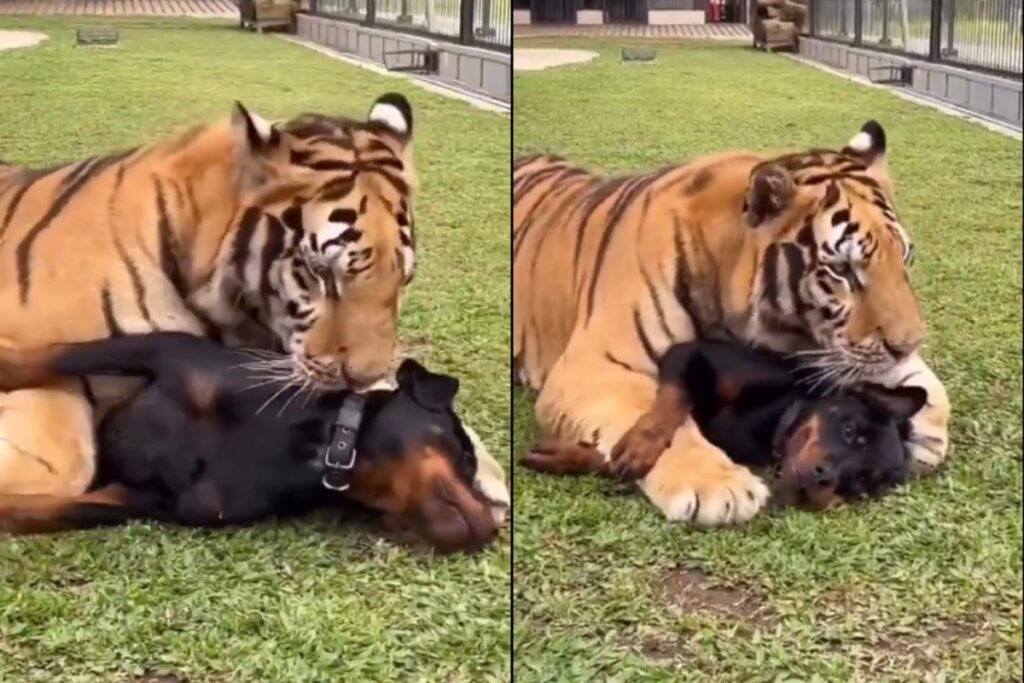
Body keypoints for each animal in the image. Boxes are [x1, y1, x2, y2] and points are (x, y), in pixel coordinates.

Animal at [513, 121, 951, 527]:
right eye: (842, 269)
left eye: (905, 258)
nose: (908, 344)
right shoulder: (593, 365)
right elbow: (654, 410)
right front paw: (716, 486)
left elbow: (923, 387)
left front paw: (926, 431)